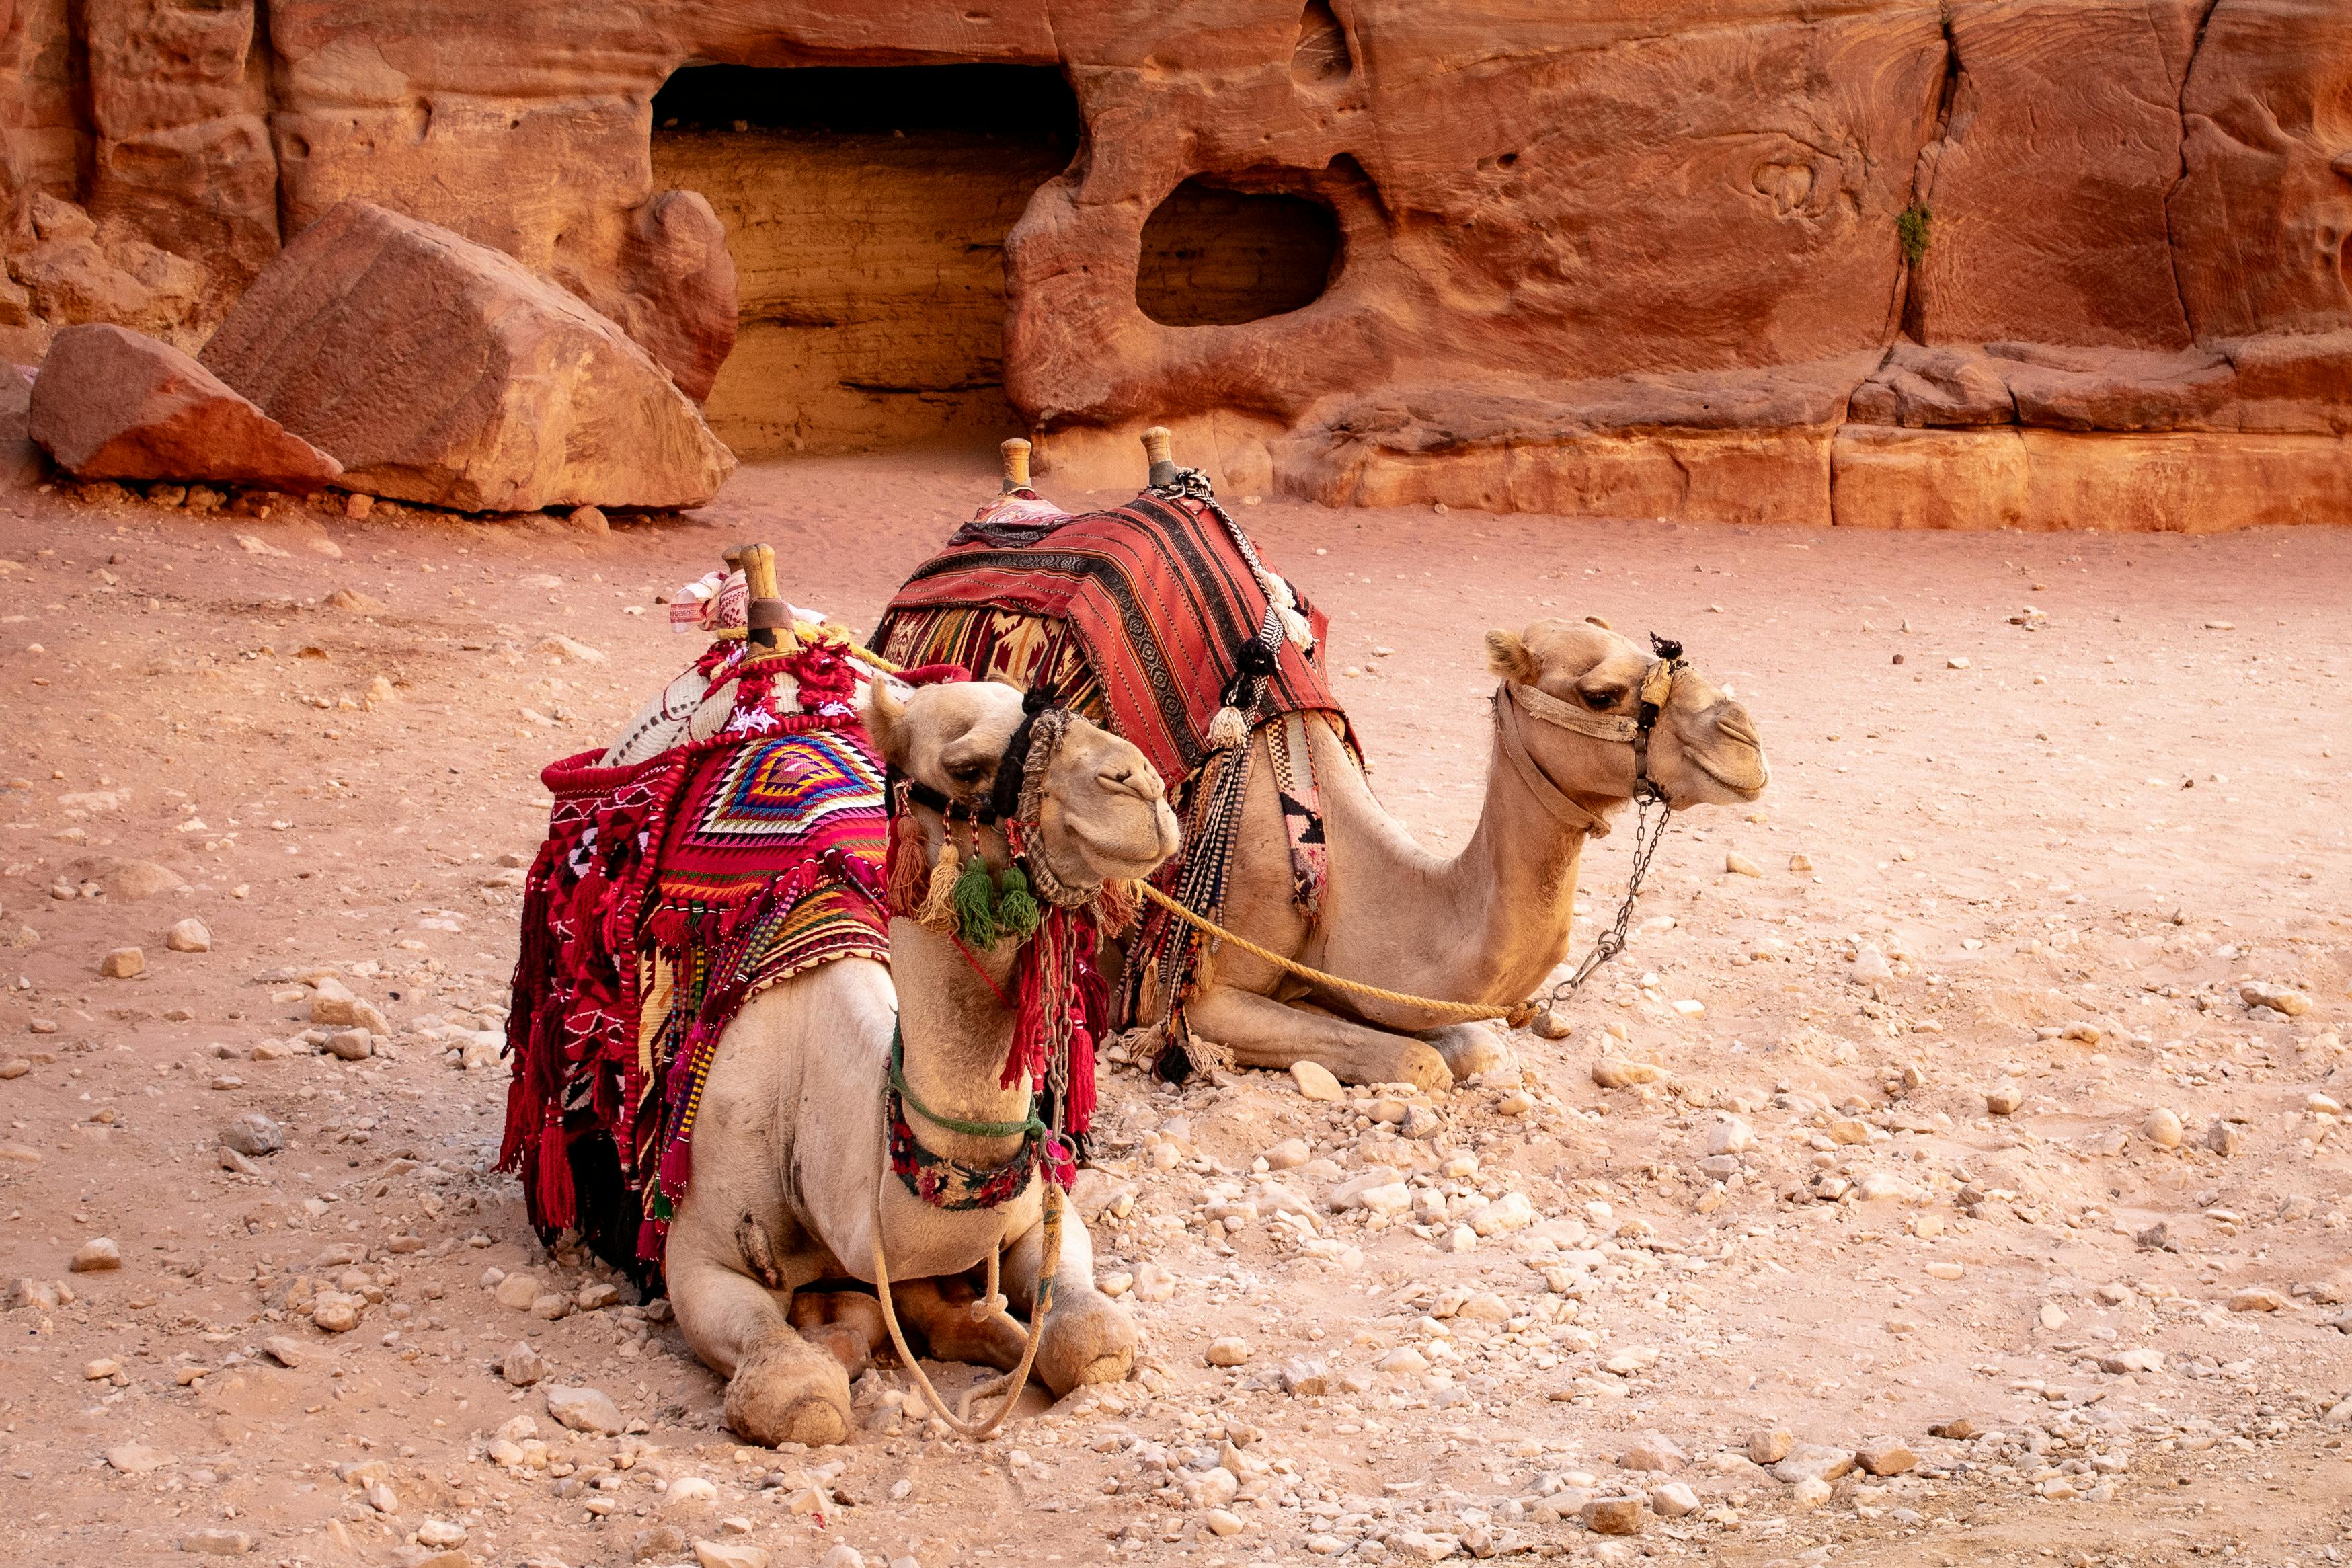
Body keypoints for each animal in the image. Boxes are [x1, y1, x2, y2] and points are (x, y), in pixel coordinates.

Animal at [630, 675, 1181, 1446]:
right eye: (968, 765)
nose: (1142, 786)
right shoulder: (695, 1253)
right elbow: (797, 1396)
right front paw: (825, 1351)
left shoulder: (1041, 1210)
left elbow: (1092, 1340)